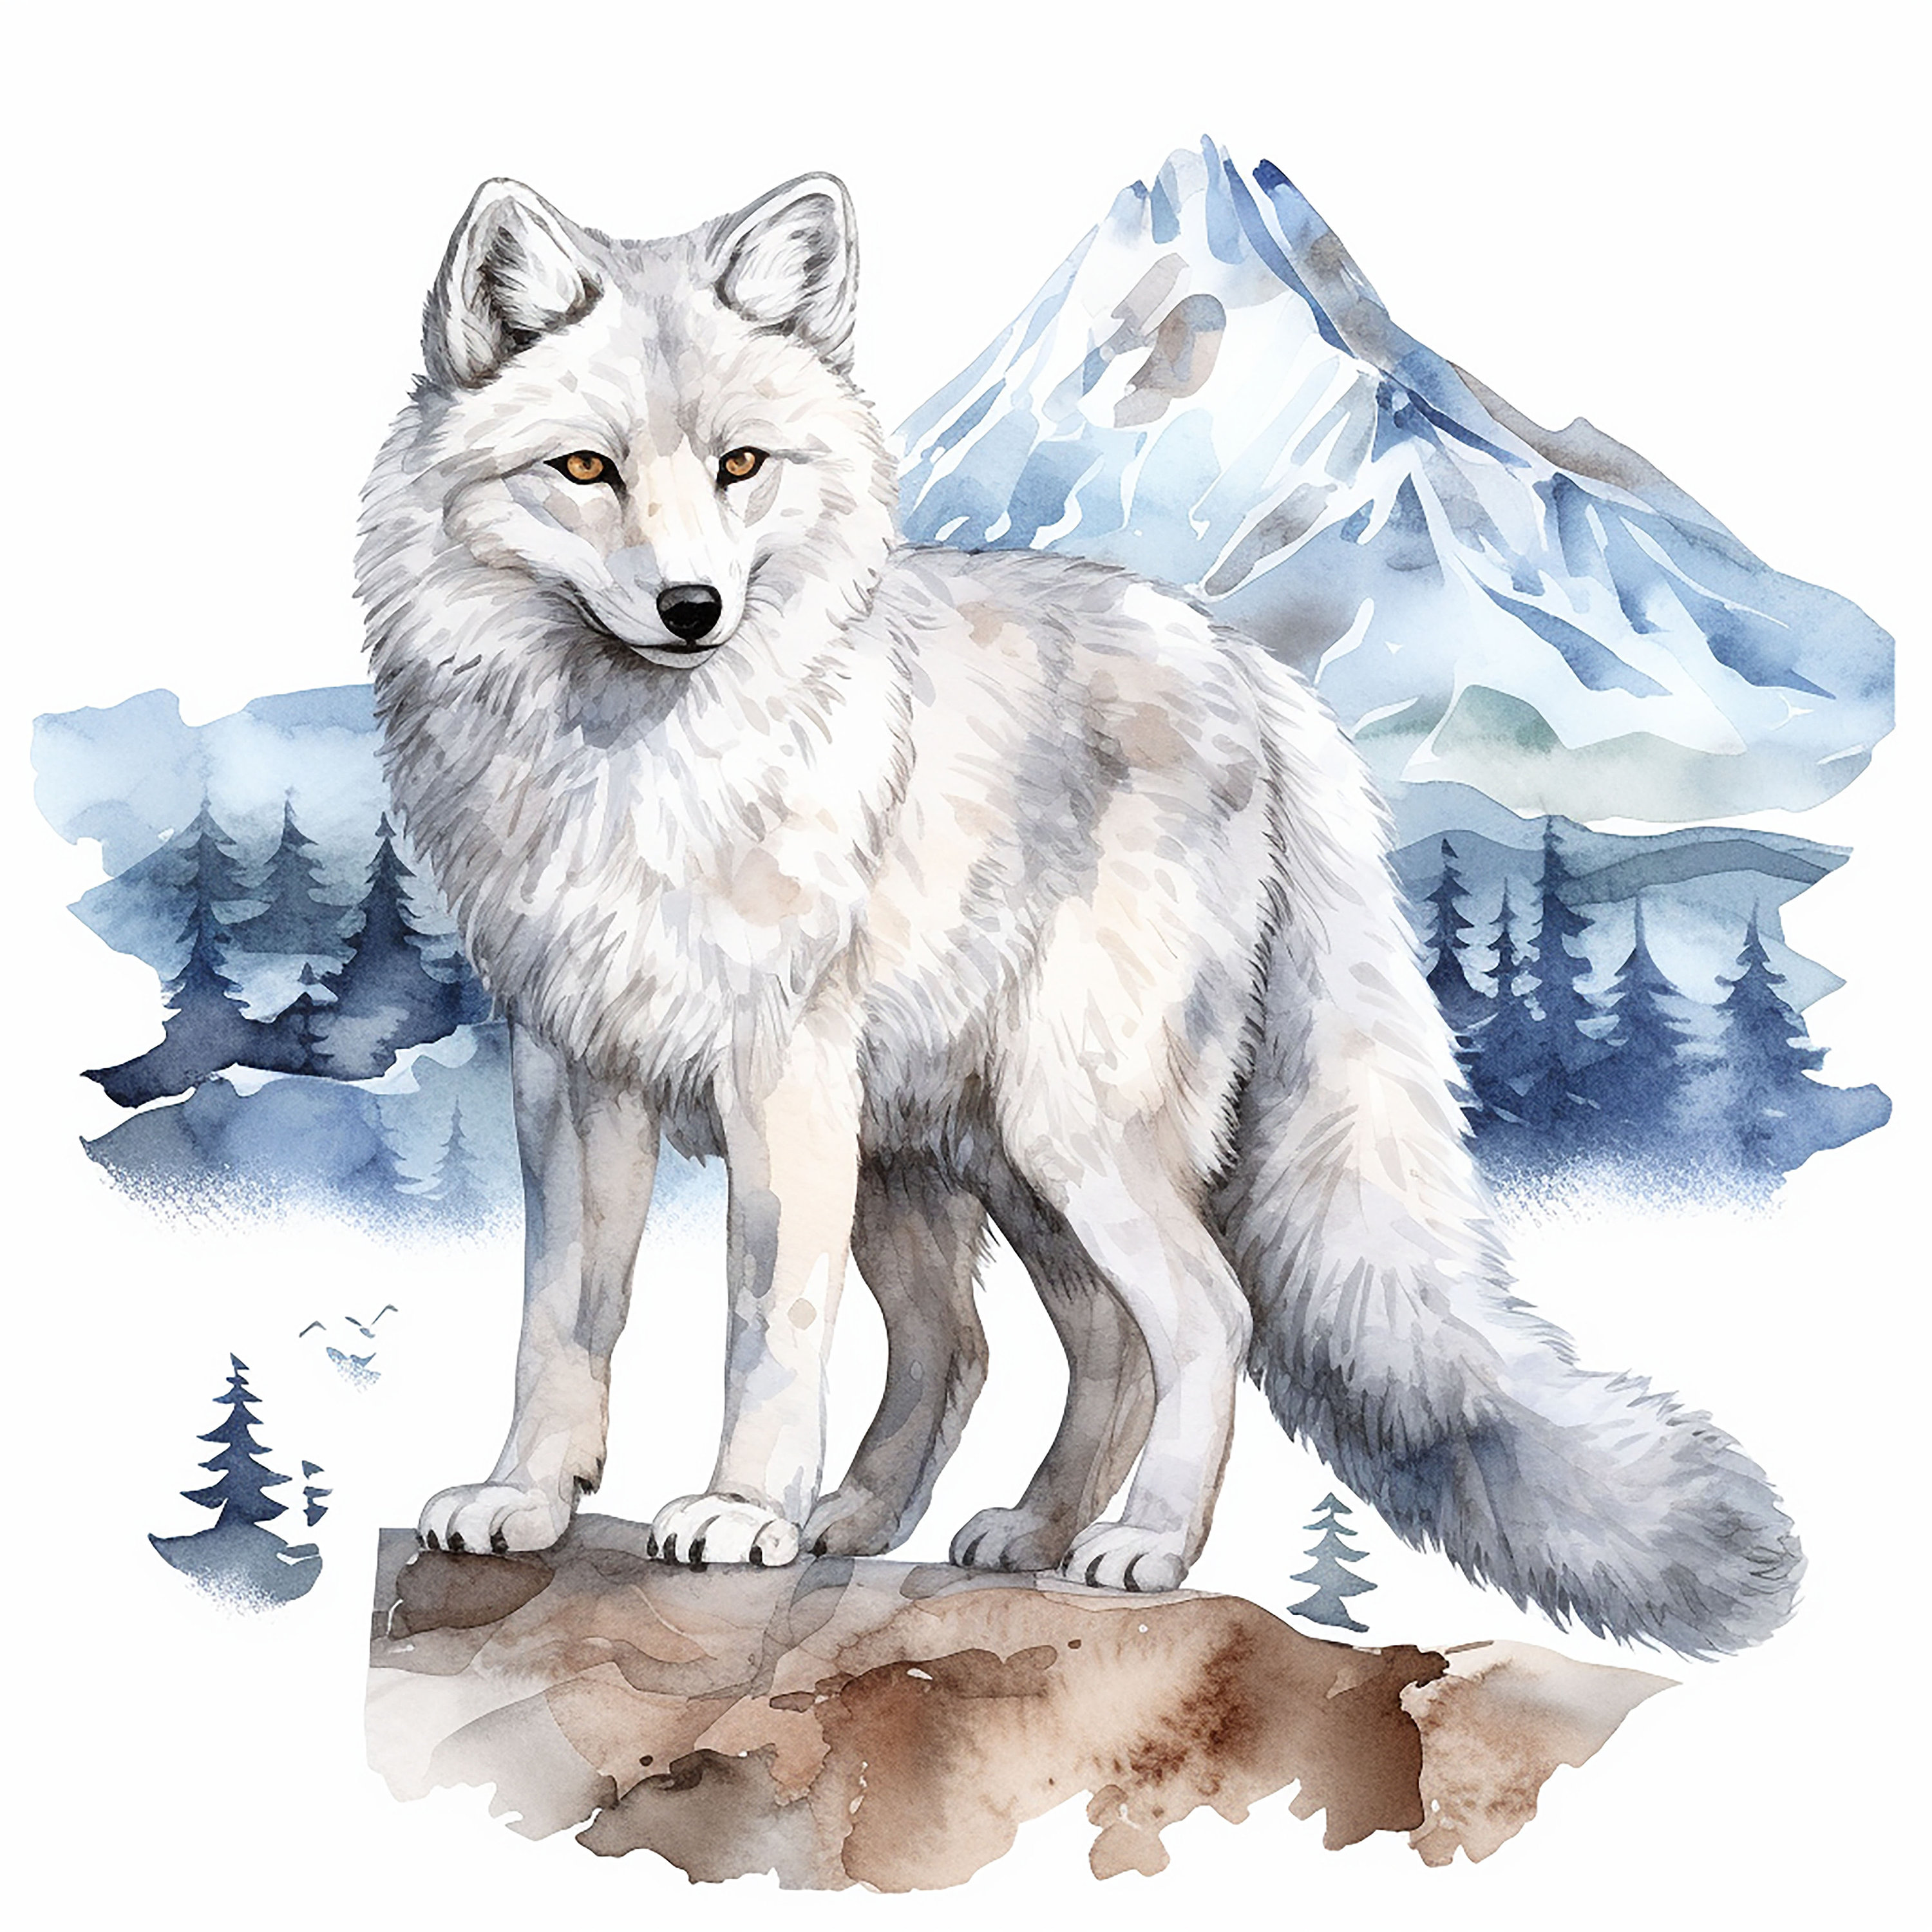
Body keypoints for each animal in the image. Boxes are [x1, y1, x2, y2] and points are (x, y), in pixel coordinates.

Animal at [356, 171, 1802, 1654]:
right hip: (960, 1162)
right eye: (586, 472)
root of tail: (1252, 672)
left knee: (1196, 1319)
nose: (692, 608)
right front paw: (527, 1497)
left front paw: (741, 1515)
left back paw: (1136, 1546)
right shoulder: (571, 1073)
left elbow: (769, 1327)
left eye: (741, 466)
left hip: (1058, 1129)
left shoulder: (778, 1074)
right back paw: (969, 1531)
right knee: (1025, 1345)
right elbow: (560, 1321)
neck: (632, 774)